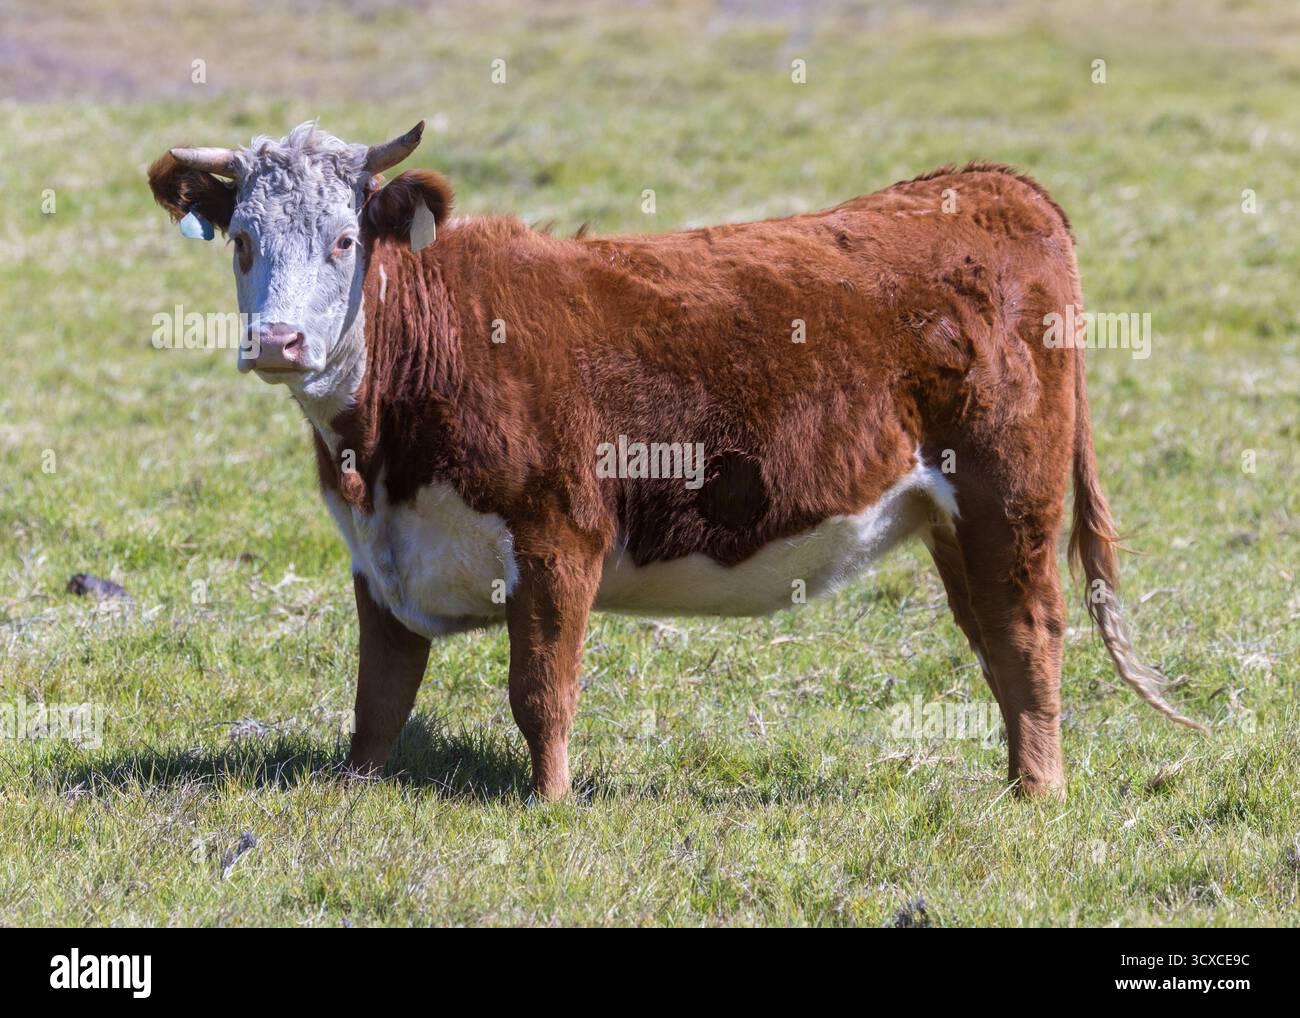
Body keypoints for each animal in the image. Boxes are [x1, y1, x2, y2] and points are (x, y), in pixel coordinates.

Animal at [147, 121, 1202, 801]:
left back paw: (1039, 795)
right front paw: (353, 789)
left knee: (1027, 636)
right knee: (991, 639)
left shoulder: (558, 536)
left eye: (342, 239)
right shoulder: (379, 555)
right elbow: (378, 698)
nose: (279, 342)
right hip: (952, 517)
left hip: (1009, 496)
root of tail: (990, 185)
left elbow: (541, 692)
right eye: (243, 241)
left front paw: (552, 806)